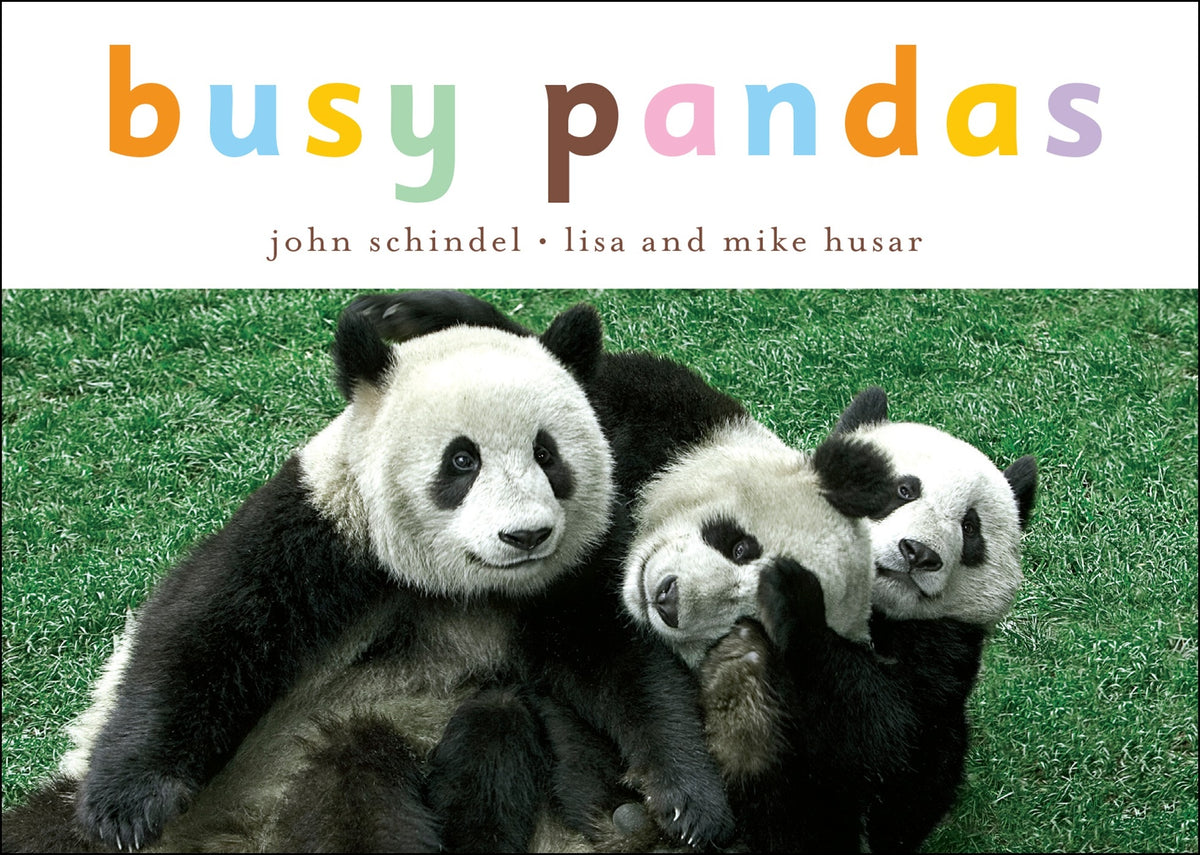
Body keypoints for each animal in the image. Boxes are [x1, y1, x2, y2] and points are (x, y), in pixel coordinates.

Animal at [2, 301, 741, 853]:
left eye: (547, 453)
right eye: (462, 459)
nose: (525, 536)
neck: (462, 590)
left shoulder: (570, 574)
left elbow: (627, 663)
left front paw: (685, 798)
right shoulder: (323, 530)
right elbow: (203, 637)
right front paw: (127, 805)